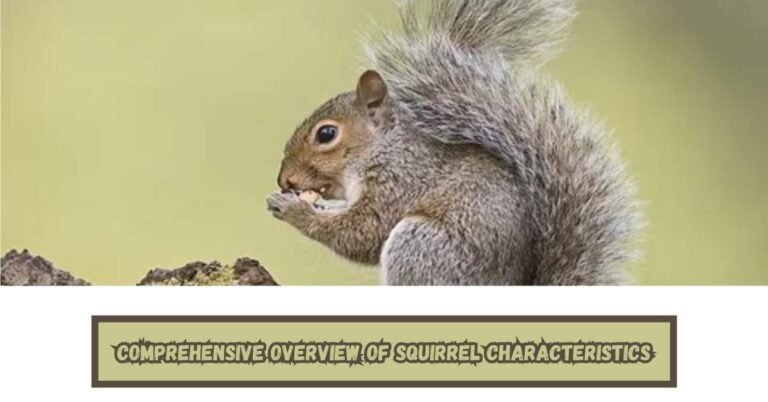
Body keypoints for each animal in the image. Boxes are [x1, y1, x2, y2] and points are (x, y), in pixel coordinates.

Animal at [267, 0, 641, 285]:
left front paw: (295, 210)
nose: (285, 180)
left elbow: (364, 232)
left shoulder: (401, 177)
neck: (383, 146)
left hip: (422, 248)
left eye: (326, 134)